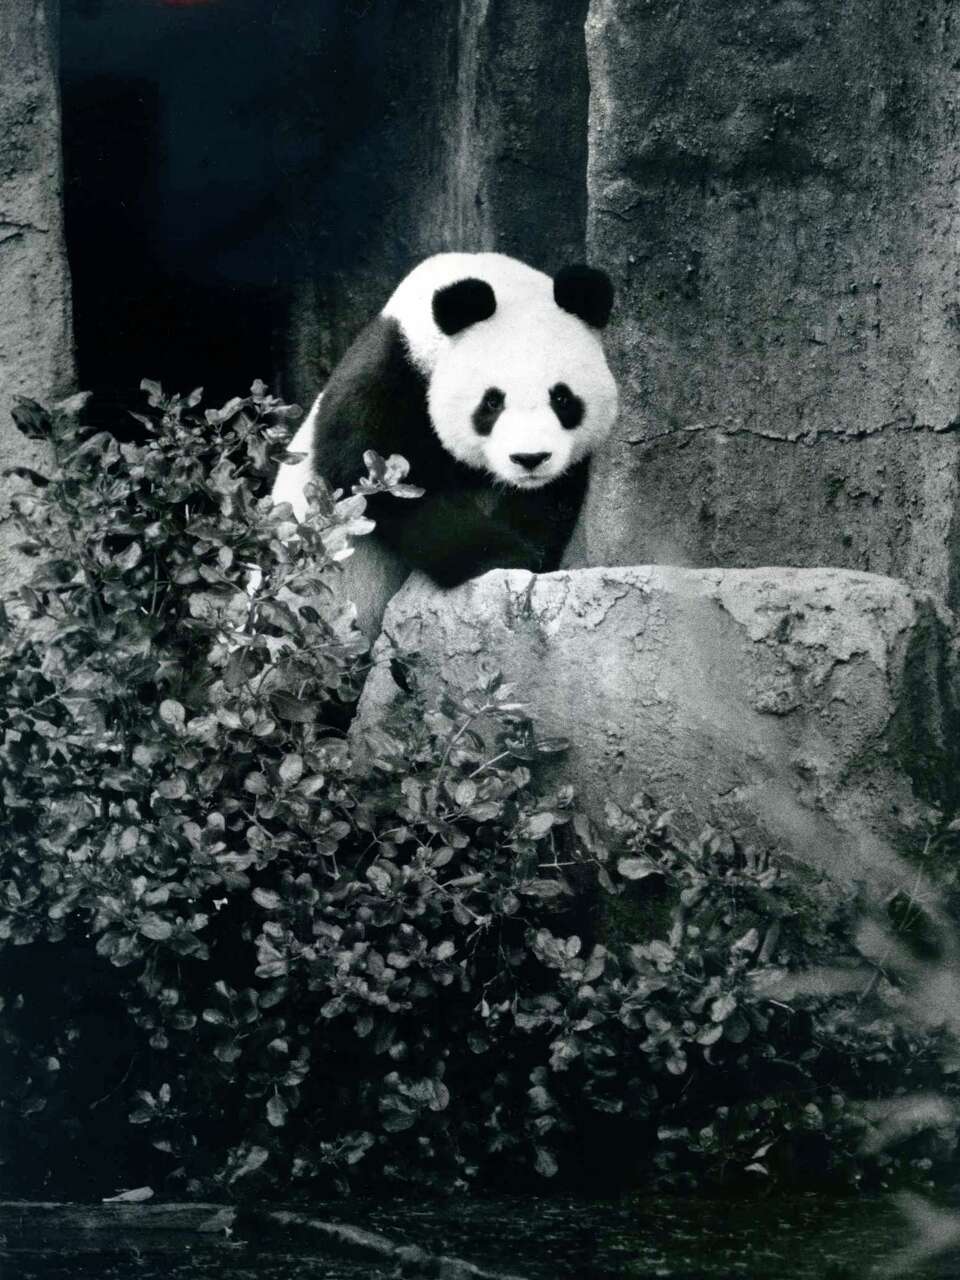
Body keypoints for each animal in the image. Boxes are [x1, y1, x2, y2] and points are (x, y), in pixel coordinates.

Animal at [272, 252, 618, 638]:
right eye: (492, 402)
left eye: (562, 398)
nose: (530, 458)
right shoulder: (385, 382)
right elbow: (390, 493)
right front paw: (503, 558)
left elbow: (547, 500)